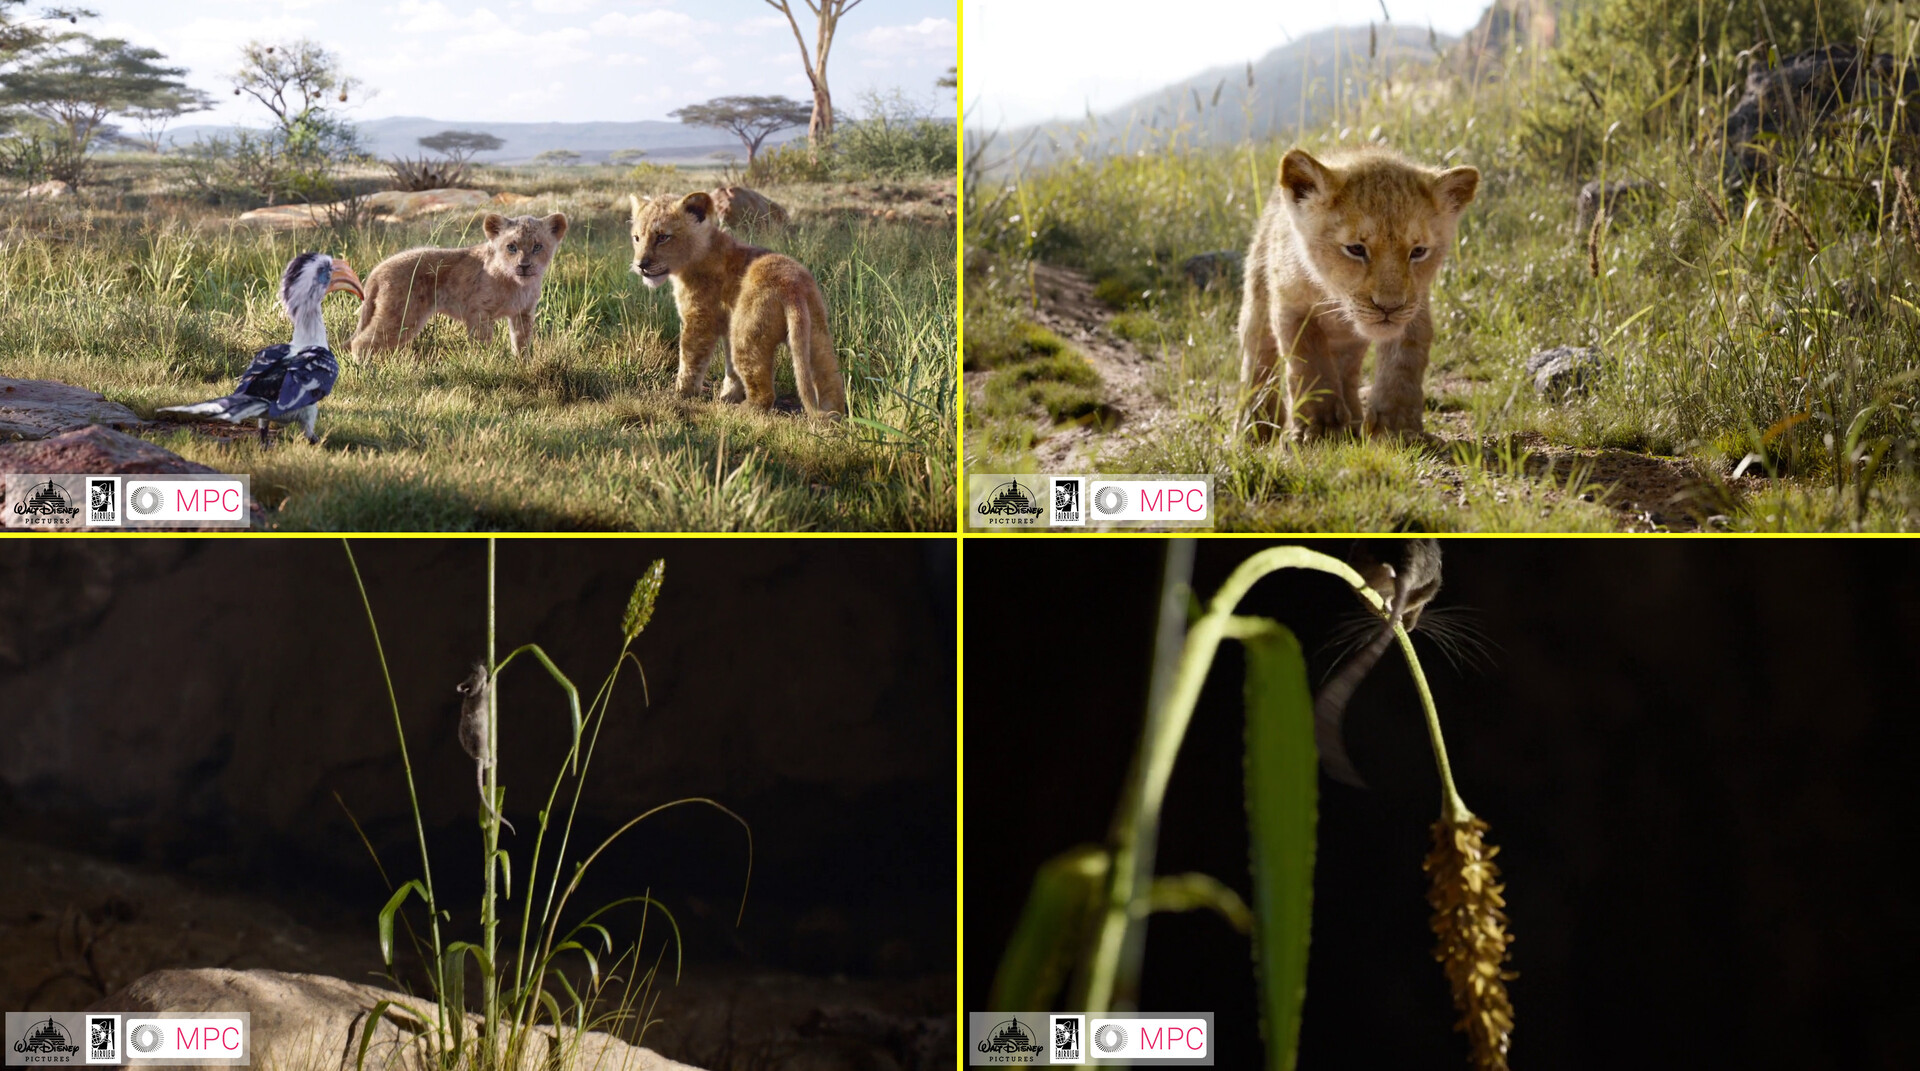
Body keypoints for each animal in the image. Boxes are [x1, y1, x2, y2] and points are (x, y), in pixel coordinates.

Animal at [352, 213, 567, 358]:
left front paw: (522, 364)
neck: (518, 285)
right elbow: (482, 343)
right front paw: (485, 365)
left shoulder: (523, 313)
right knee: (360, 342)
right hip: (401, 315)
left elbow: (522, 342)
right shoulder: (478, 313)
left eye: (537, 246)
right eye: (511, 247)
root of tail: (377, 270)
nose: (524, 266)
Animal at [629, 191, 845, 419]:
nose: (641, 265)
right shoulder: (726, 325)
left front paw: (681, 394)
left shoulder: (700, 318)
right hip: (815, 332)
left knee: (764, 392)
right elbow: (731, 370)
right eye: (636, 238)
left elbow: (690, 358)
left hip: (745, 333)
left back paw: (742, 410)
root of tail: (792, 285)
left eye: (662, 237)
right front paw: (728, 395)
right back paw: (833, 415)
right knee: (830, 377)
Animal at [1238, 147, 1479, 441]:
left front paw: (1398, 429)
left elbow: (1404, 363)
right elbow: (1309, 363)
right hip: (1257, 300)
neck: (1337, 301)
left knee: (1347, 372)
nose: (1389, 307)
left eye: (1419, 252)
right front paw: (1318, 429)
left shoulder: (1415, 309)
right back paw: (1254, 426)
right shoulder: (1291, 306)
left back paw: (1351, 422)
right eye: (1355, 249)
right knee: (1257, 360)